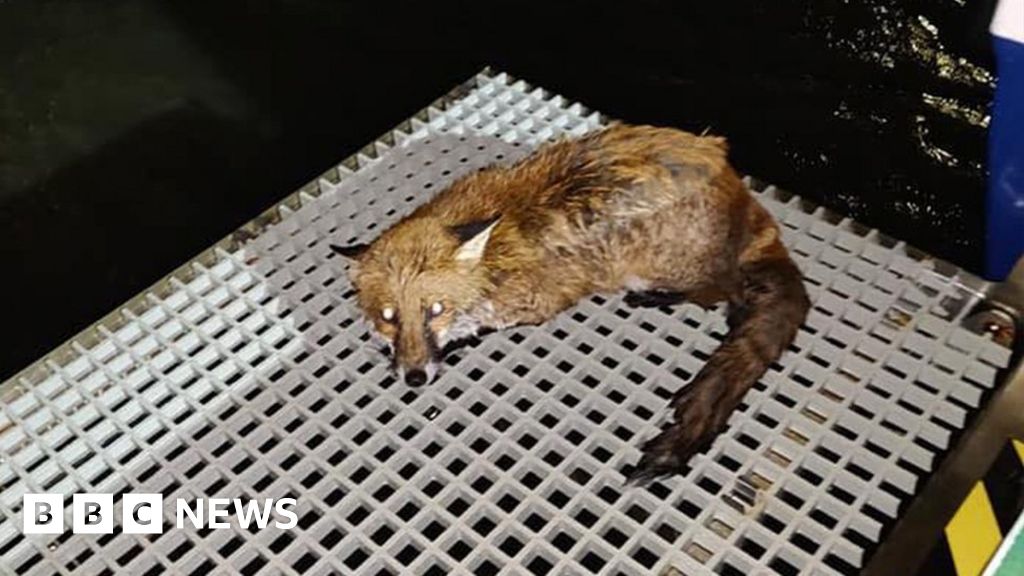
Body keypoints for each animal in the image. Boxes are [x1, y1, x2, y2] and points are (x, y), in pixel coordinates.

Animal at [331, 123, 810, 481]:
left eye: (435, 310)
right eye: (389, 317)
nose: (414, 378)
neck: (495, 257)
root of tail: (746, 202)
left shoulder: (538, 302)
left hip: (665, 264)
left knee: (724, 292)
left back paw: (661, 296)